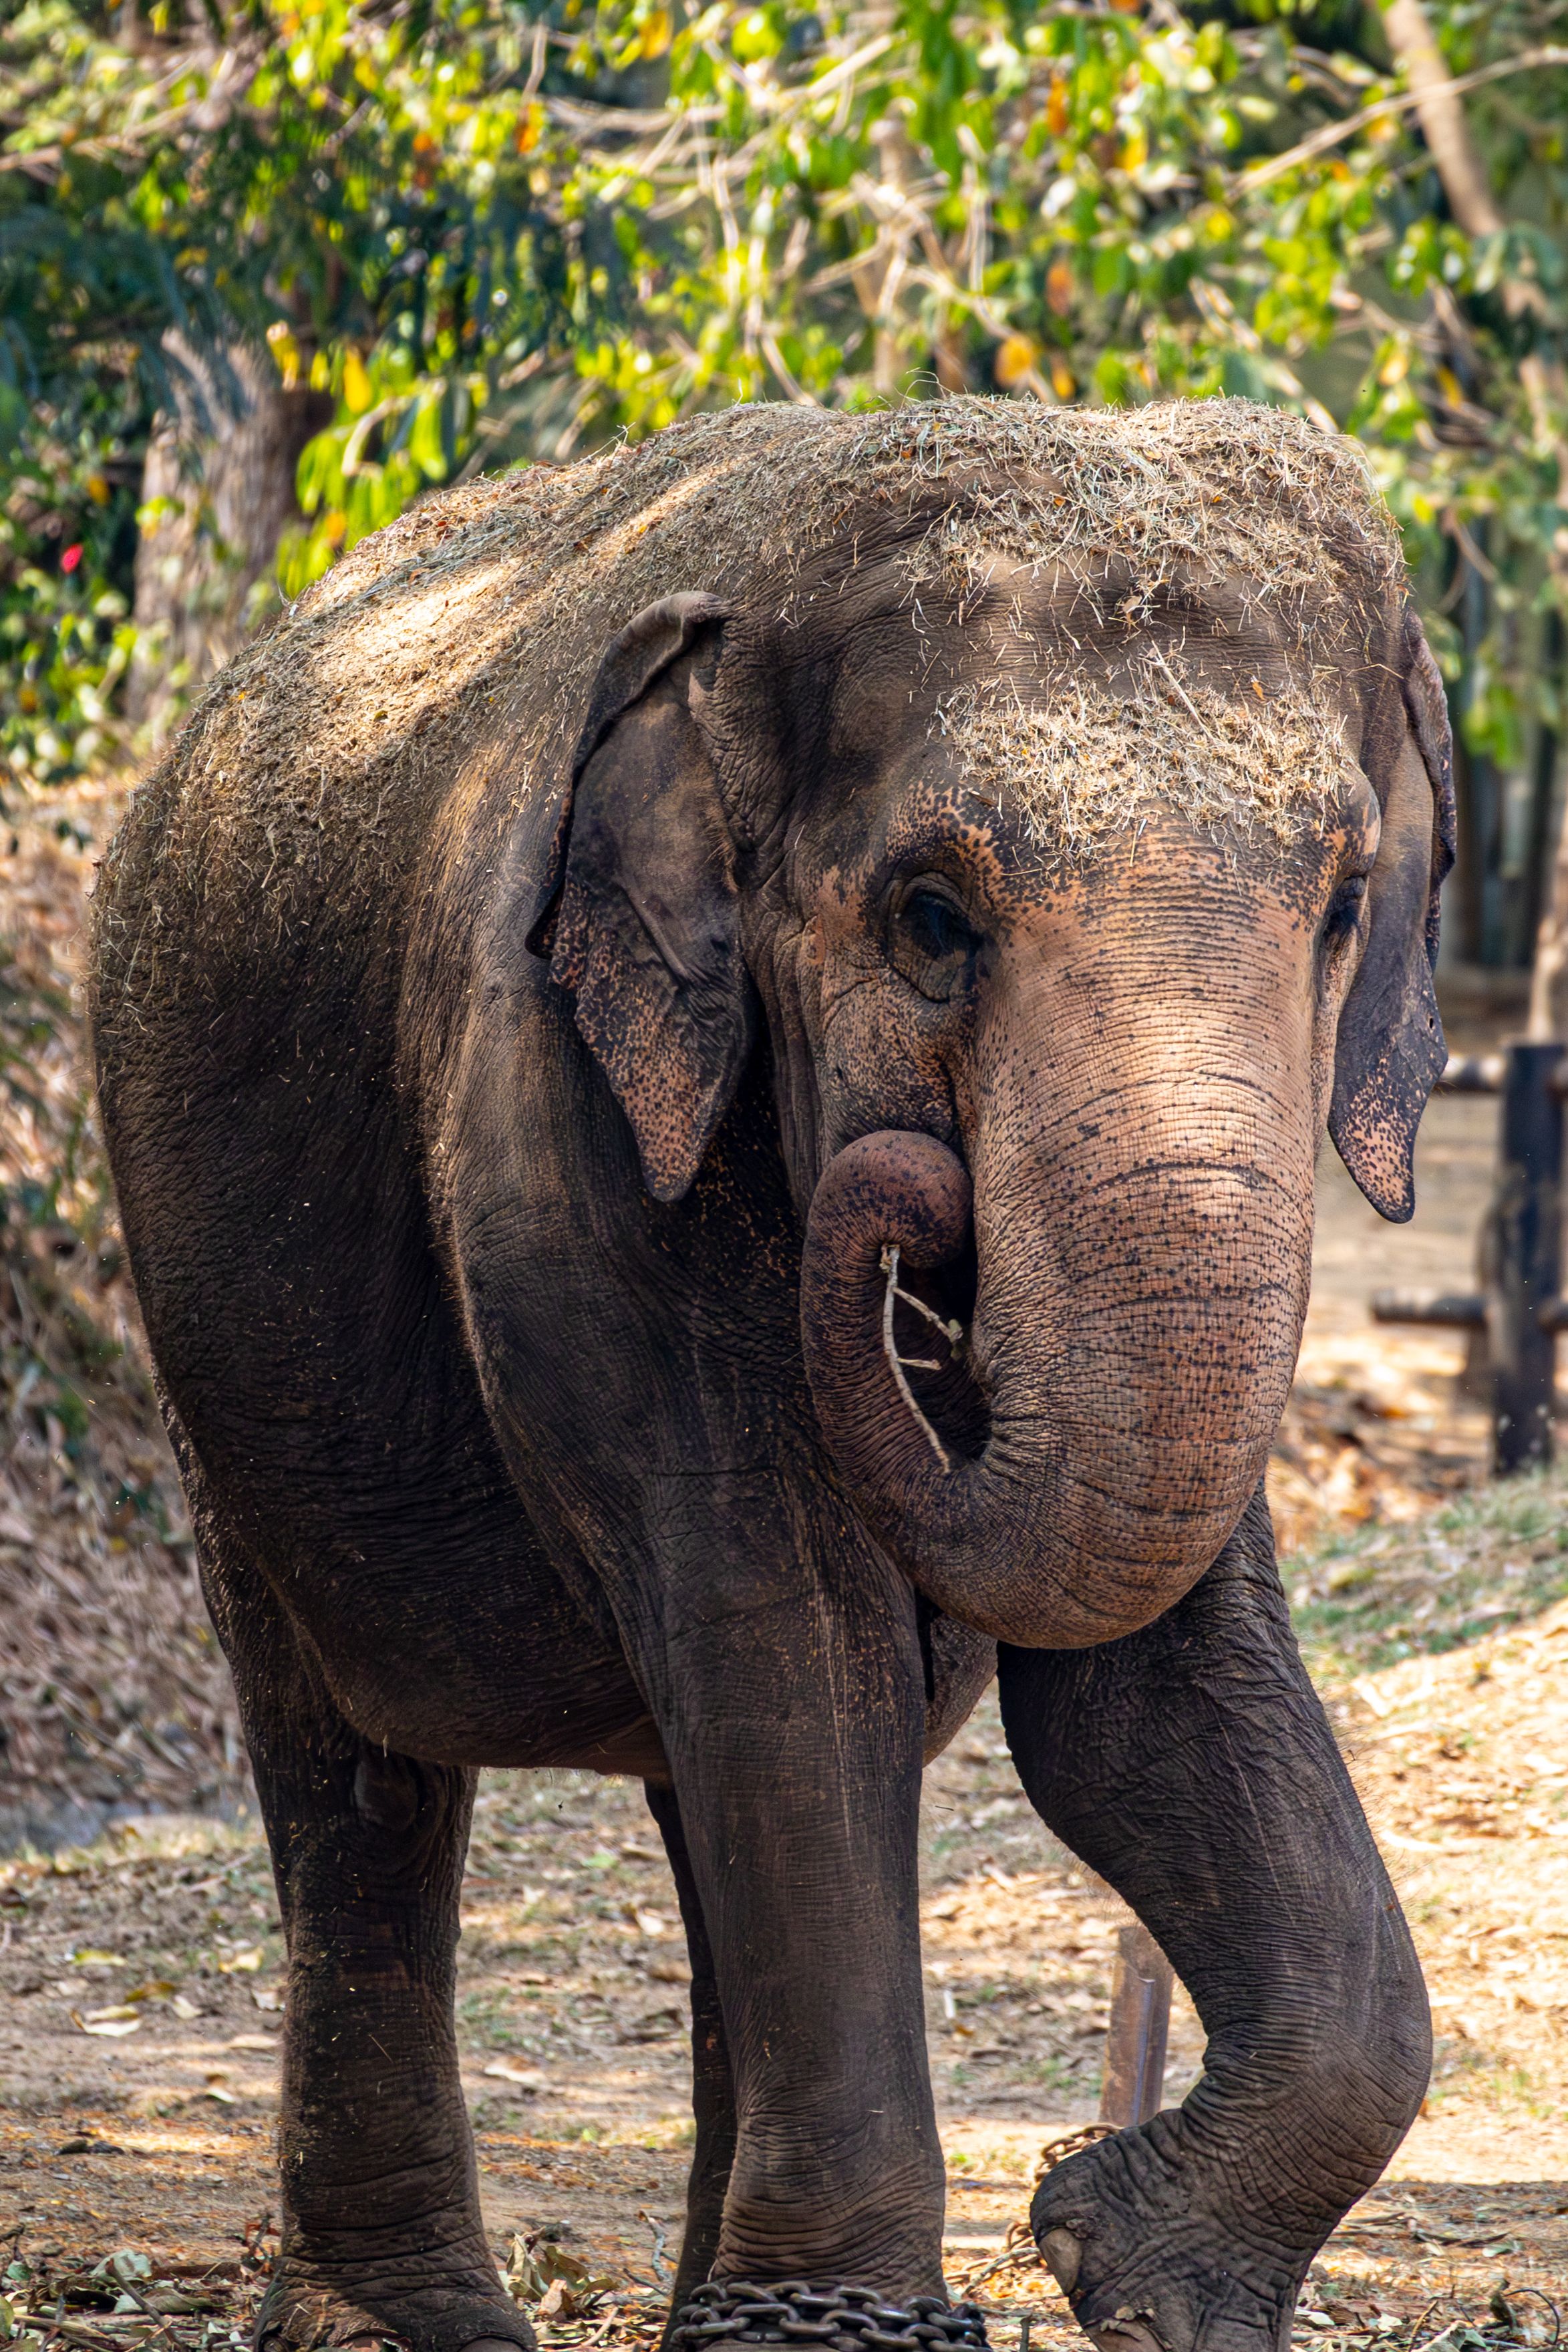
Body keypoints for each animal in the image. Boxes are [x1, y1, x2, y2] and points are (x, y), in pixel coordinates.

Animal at [89, 397, 1451, 2352]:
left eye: (1341, 908)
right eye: (930, 919)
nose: (917, 1231)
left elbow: (1131, 1692)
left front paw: (1122, 2260)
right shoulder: (560, 1113)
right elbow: (792, 1638)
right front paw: (883, 2303)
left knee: (694, 1782)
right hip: (209, 1345)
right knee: (361, 1775)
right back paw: (404, 2326)